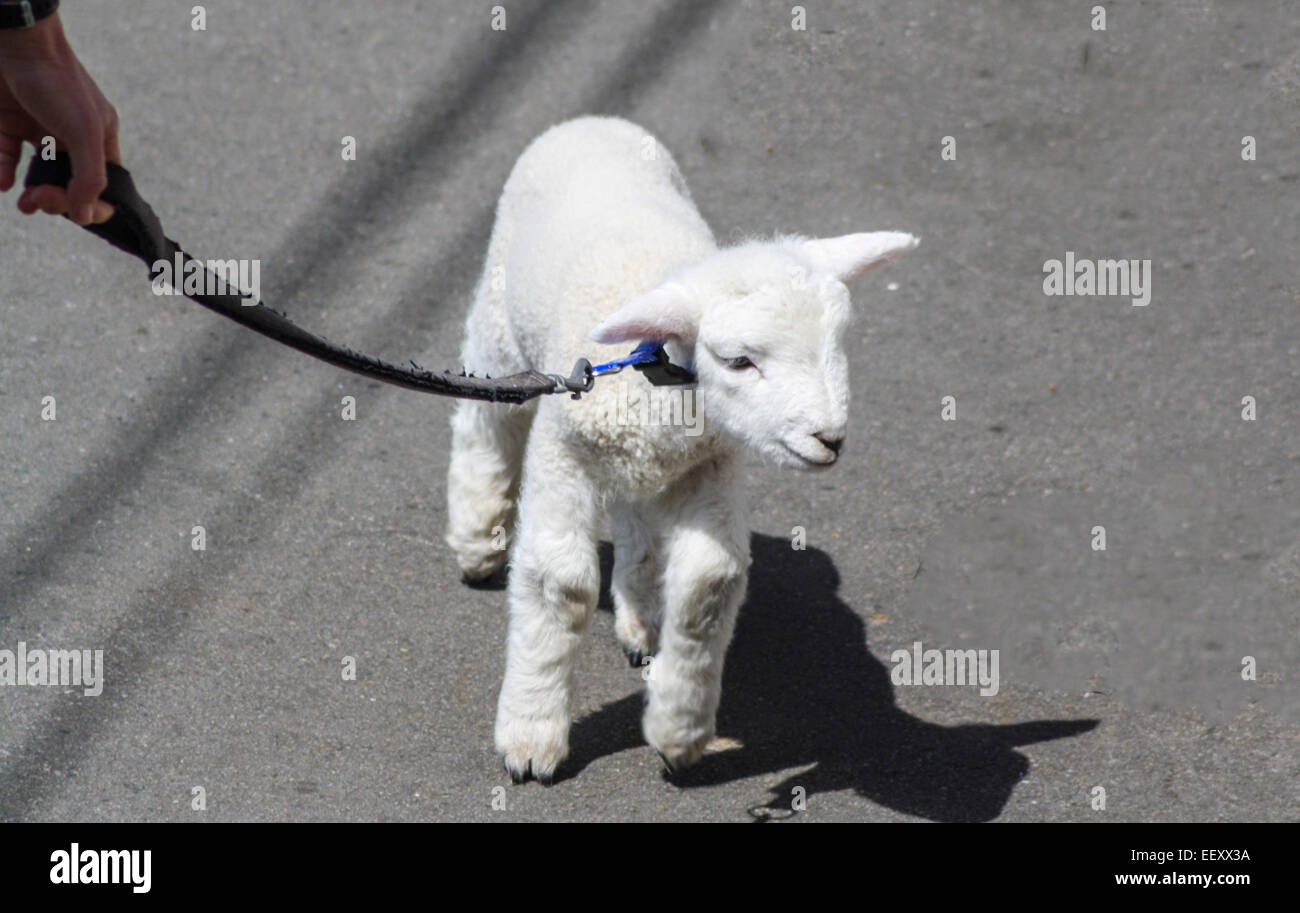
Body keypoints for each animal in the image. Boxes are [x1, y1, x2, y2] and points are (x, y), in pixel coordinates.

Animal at [445, 116, 917, 784]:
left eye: (840, 344)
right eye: (739, 361)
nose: (830, 438)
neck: (654, 370)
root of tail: (592, 121)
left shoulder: (710, 465)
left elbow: (708, 583)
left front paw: (680, 729)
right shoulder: (564, 455)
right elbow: (560, 582)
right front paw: (531, 736)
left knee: (637, 515)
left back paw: (641, 617)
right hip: (500, 319)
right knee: (486, 422)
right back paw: (478, 539)